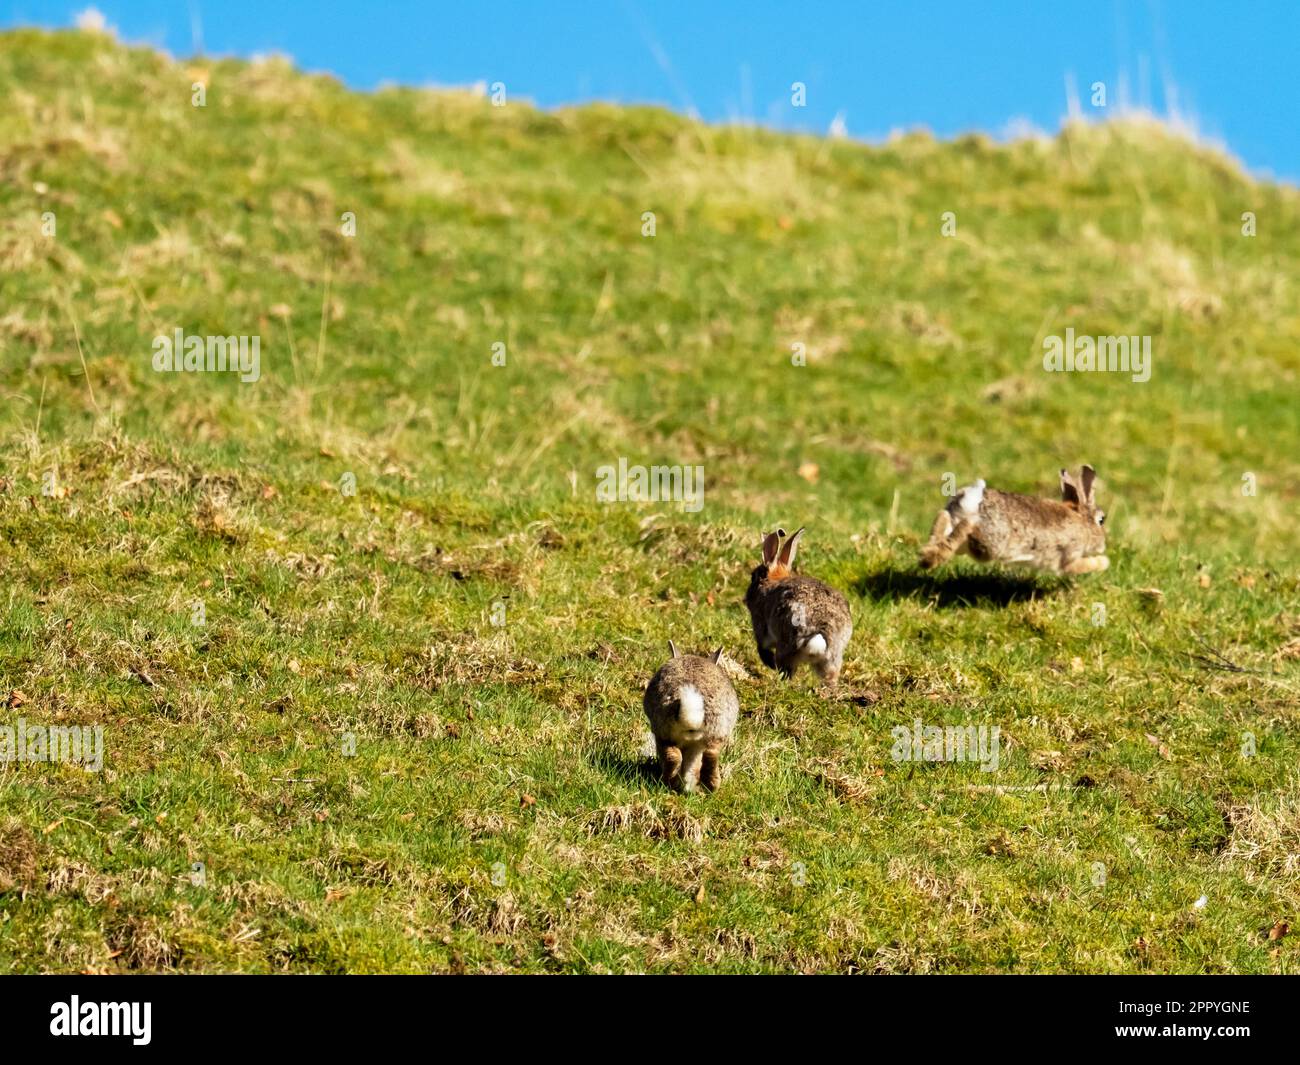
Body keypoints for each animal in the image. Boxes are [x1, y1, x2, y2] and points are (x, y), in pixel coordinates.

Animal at [745, 527, 853, 684]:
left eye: (753, 577)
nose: (746, 598)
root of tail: (821, 632)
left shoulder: (760, 625)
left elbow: (762, 647)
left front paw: (769, 663)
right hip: (832, 657)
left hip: (787, 644)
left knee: (785, 668)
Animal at [918, 465, 1109, 574]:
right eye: (1101, 520)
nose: (1103, 546)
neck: (1083, 523)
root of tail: (972, 499)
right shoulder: (1069, 556)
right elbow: (1080, 566)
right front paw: (1104, 562)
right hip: (990, 543)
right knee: (962, 532)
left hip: (954, 522)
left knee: (942, 523)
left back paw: (927, 557)